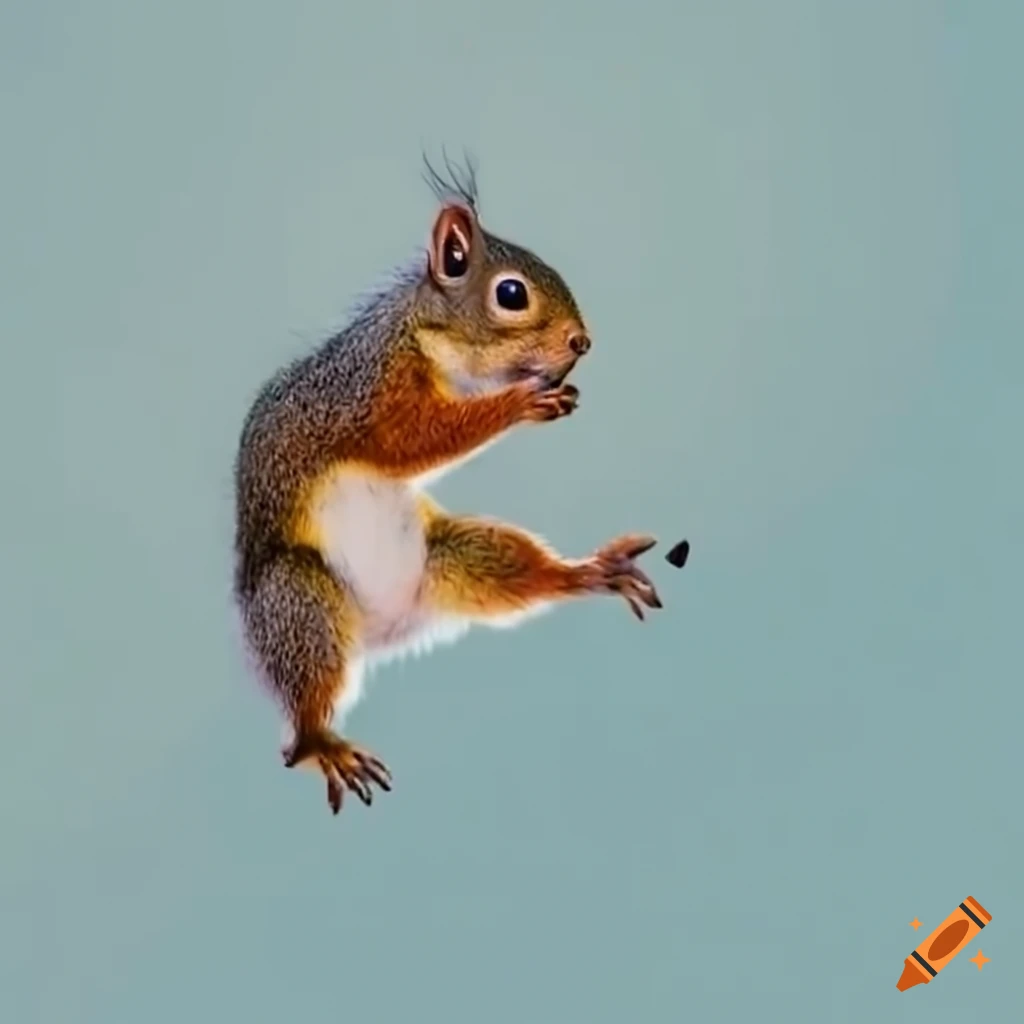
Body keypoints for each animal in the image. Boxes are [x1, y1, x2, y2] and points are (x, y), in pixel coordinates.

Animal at [233, 158, 663, 815]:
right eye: (511, 294)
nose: (581, 342)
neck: (429, 337)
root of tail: (381, 634)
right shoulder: (368, 393)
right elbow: (411, 439)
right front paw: (518, 403)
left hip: (458, 554)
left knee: (524, 574)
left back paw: (586, 572)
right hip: (298, 601)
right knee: (299, 727)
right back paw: (324, 746)